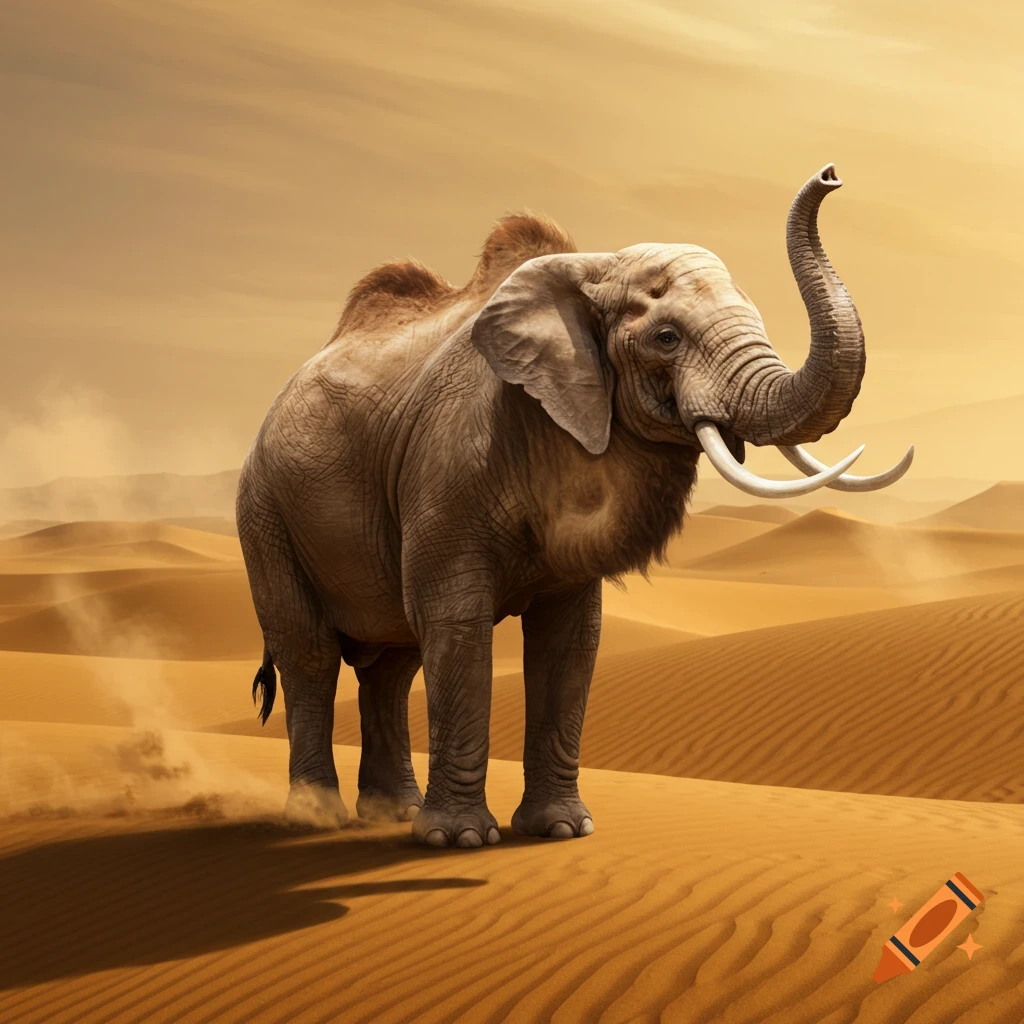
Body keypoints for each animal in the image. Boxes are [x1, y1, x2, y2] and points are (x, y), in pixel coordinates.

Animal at [236, 164, 912, 848]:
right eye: (666, 337)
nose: (831, 173)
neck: (593, 268)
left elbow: (570, 637)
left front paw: (562, 830)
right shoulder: (450, 458)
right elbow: (455, 621)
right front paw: (461, 841)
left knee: (391, 663)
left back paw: (390, 815)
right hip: (263, 512)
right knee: (311, 653)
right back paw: (318, 818)